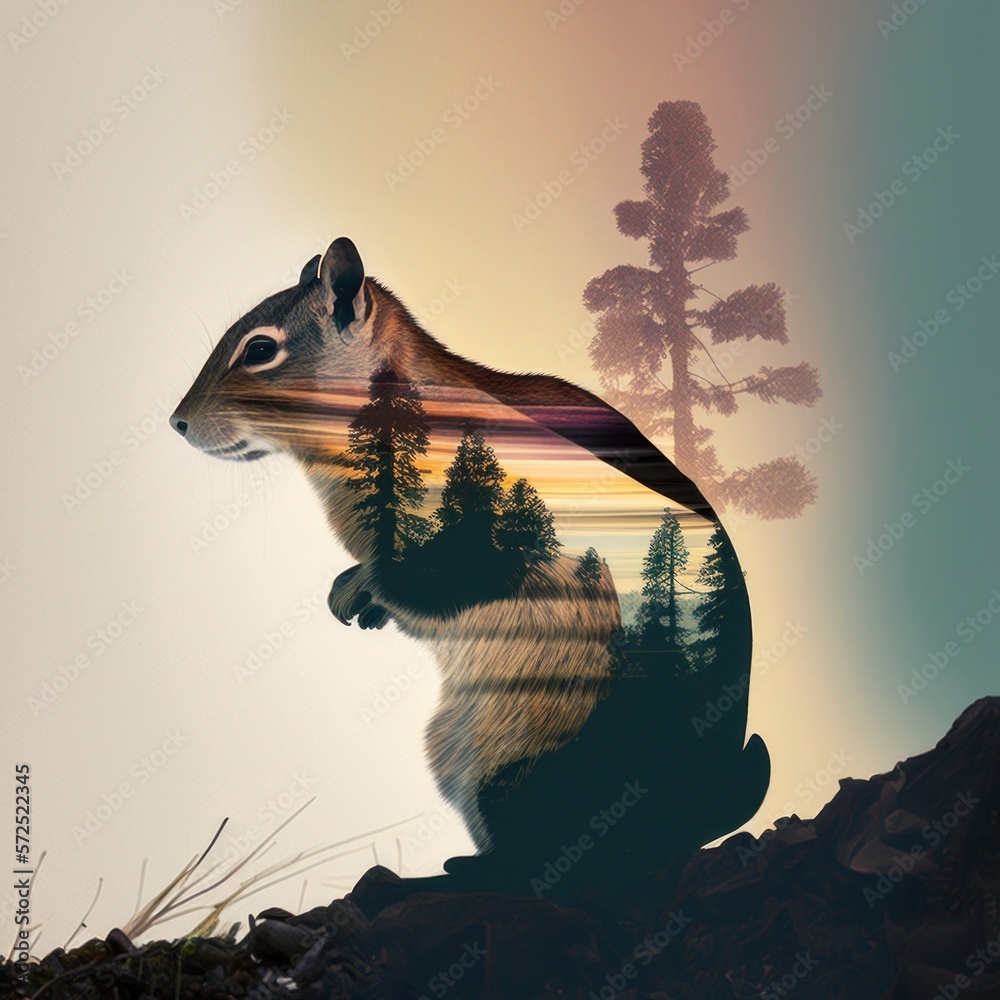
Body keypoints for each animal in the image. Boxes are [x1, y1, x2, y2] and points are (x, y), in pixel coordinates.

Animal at [171, 237, 769, 907]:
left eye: (260, 350)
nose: (177, 423)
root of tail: (693, 811)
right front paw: (351, 591)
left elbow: (435, 580)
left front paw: (367, 586)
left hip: (513, 759)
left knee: (543, 868)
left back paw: (418, 879)